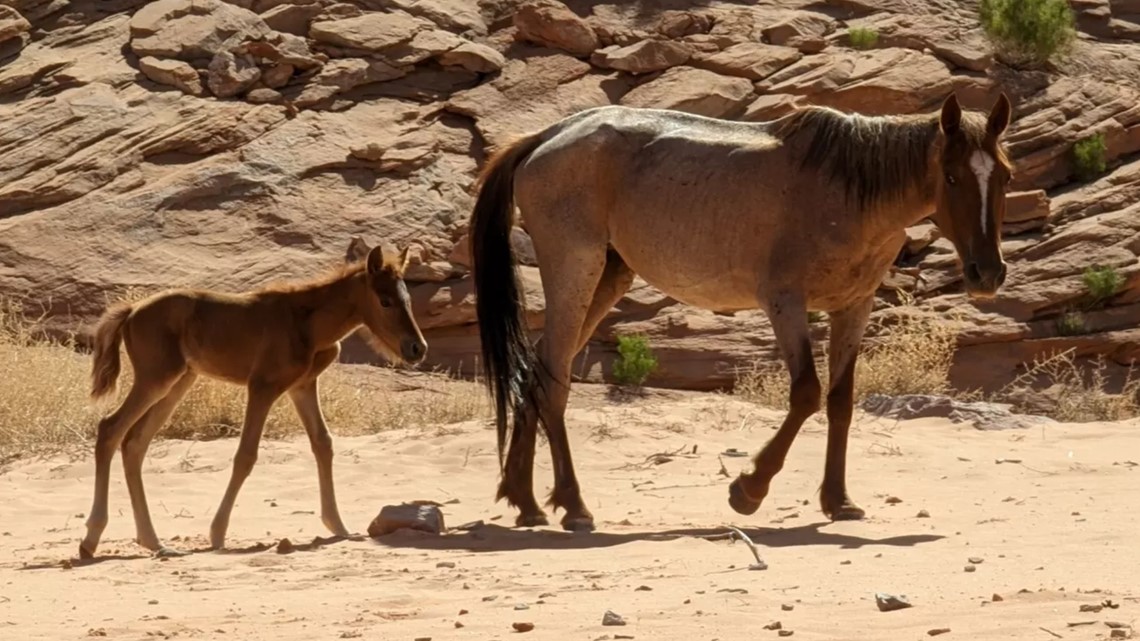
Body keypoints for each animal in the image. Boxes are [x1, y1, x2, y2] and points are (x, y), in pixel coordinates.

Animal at [78, 237, 428, 558]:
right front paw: (217, 533)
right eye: (385, 301)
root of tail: (131, 311)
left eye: (408, 299)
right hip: (155, 379)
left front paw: (338, 526)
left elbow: (323, 444)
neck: (307, 323)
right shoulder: (262, 387)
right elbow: (246, 454)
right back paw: (91, 539)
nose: (417, 348)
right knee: (110, 429)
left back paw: (153, 542)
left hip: (178, 382)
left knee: (134, 442)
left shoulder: (302, 386)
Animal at [469, 91, 1014, 532]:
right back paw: (573, 506)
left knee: (536, 368)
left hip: (606, 278)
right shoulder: (785, 303)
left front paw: (839, 501)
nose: (987, 273)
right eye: (951, 176)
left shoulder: (853, 308)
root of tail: (545, 137)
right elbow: (806, 394)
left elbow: (840, 401)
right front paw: (748, 489)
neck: (849, 192)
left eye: (1005, 176)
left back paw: (524, 501)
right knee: (554, 379)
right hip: (575, 271)